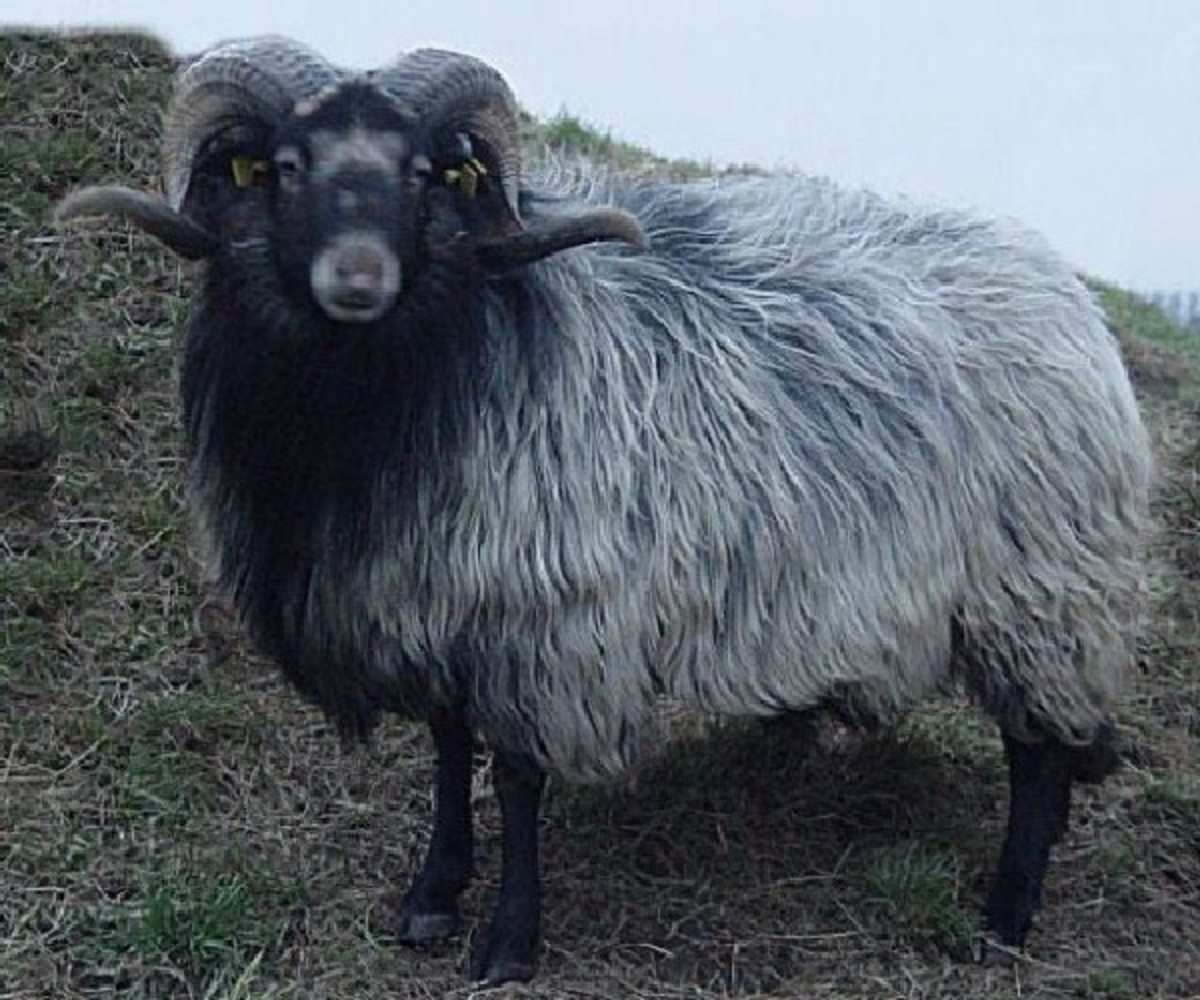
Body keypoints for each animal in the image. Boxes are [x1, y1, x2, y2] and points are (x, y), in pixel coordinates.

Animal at [57, 35, 1151, 988]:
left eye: (428, 173)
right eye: (282, 165)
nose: (358, 276)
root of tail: (1063, 285)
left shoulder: (543, 624)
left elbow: (517, 781)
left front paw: (508, 942)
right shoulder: (442, 604)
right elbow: (448, 757)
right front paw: (432, 894)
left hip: (1037, 586)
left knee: (1036, 754)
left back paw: (1006, 913)